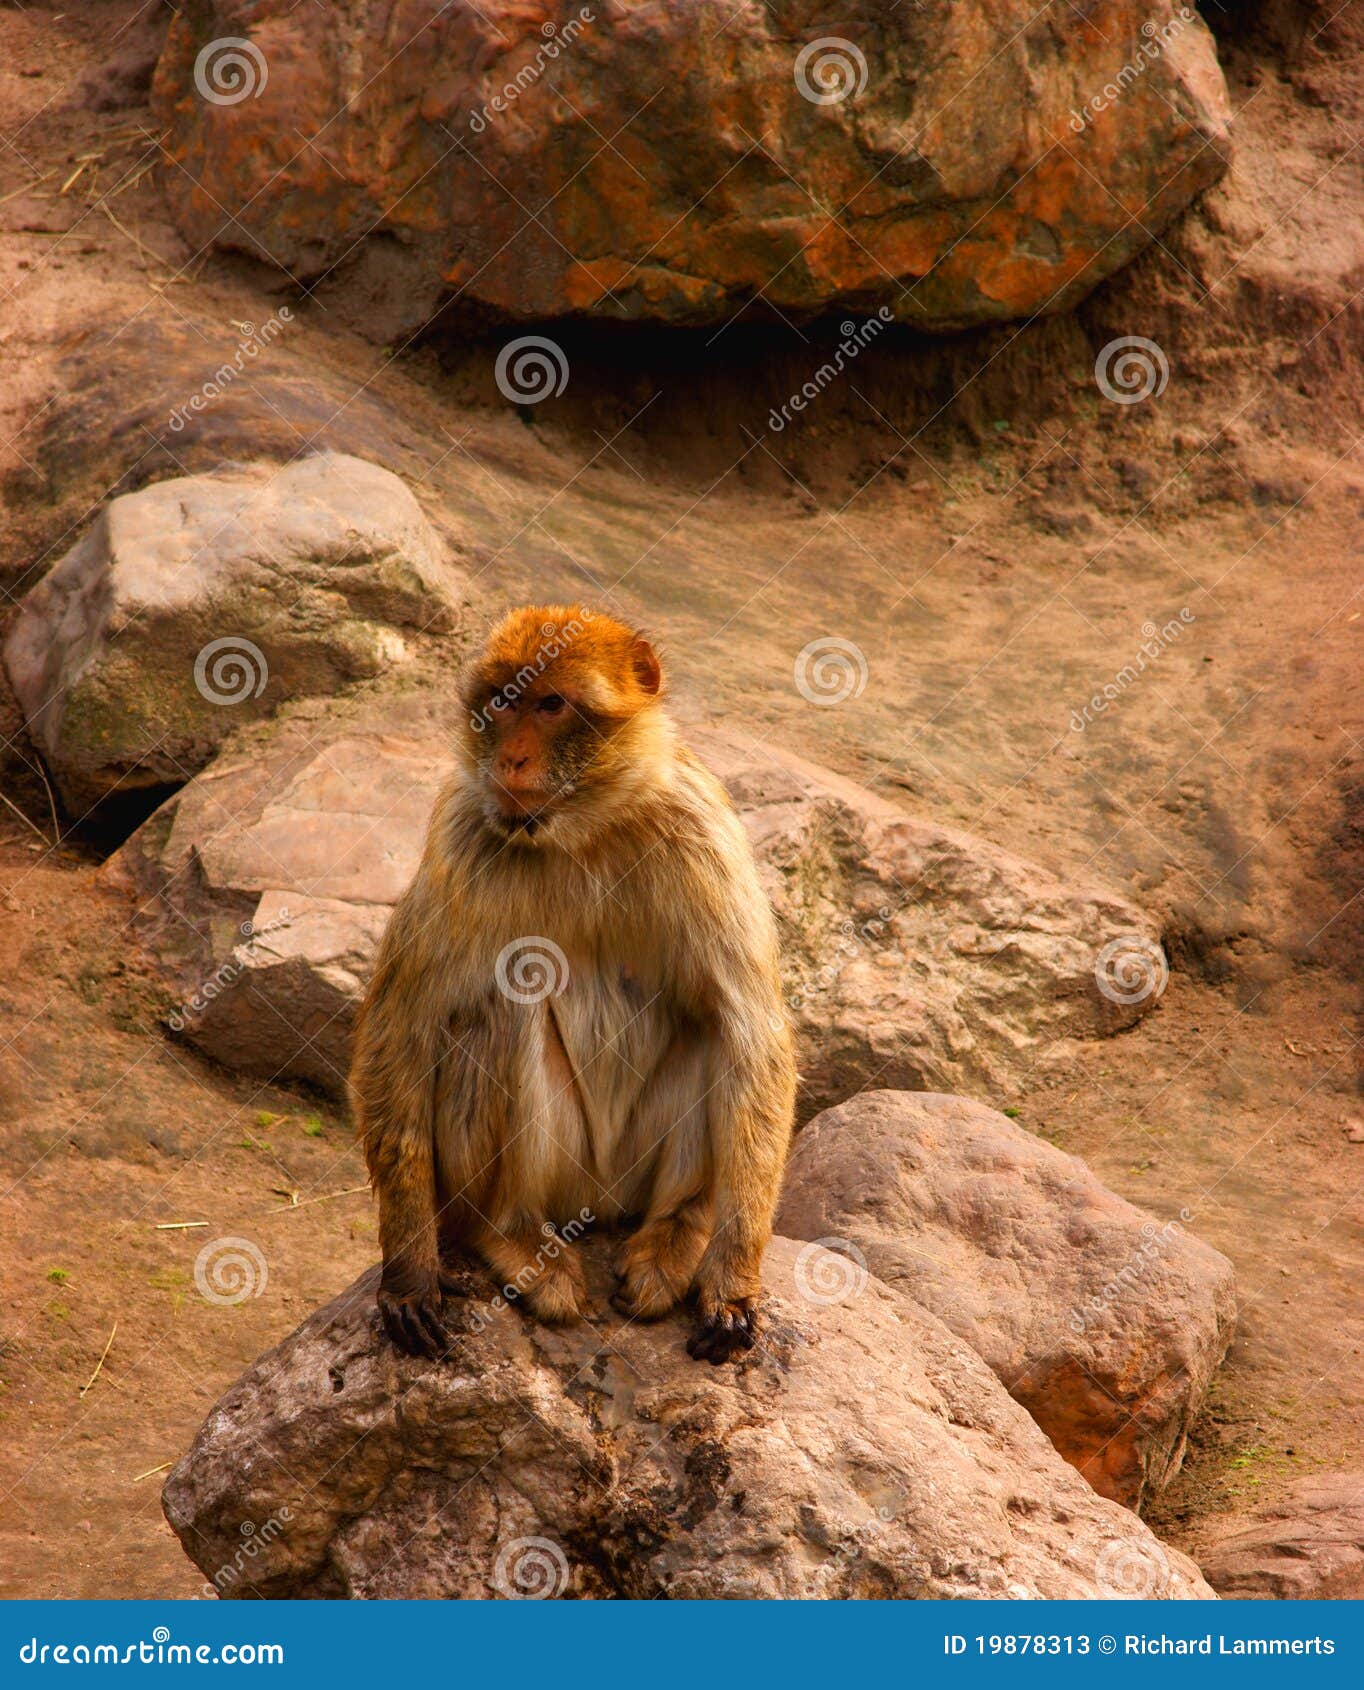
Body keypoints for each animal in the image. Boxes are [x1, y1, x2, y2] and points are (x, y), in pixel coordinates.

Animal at [350, 605, 796, 1365]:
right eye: (502, 702)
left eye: (551, 704)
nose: (510, 759)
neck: (583, 830)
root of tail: (603, 1205)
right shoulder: (462, 831)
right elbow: (402, 1031)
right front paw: (408, 1273)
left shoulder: (701, 827)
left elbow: (752, 1033)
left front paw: (733, 1282)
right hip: (550, 1180)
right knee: (503, 1007)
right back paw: (511, 1235)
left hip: (633, 1174)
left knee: (712, 1028)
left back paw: (675, 1234)